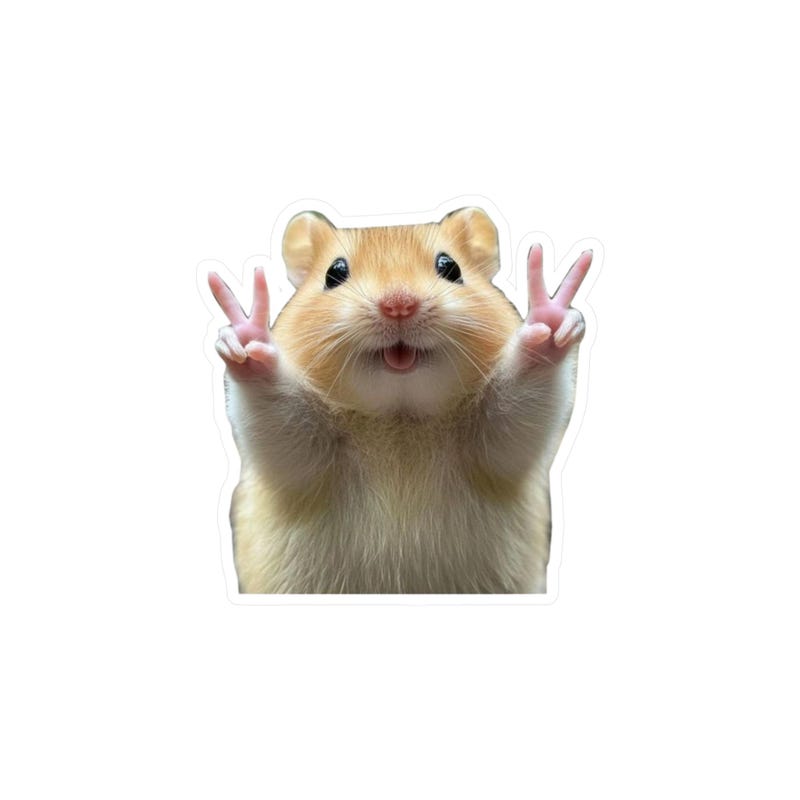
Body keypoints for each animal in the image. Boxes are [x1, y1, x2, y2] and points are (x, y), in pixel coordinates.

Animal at [208, 207, 592, 593]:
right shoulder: (297, 457)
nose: (399, 306)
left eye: (450, 267)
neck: (400, 416)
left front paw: (550, 321)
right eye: (334, 273)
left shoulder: (498, 444)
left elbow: (523, 393)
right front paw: (245, 339)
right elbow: (275, 408)